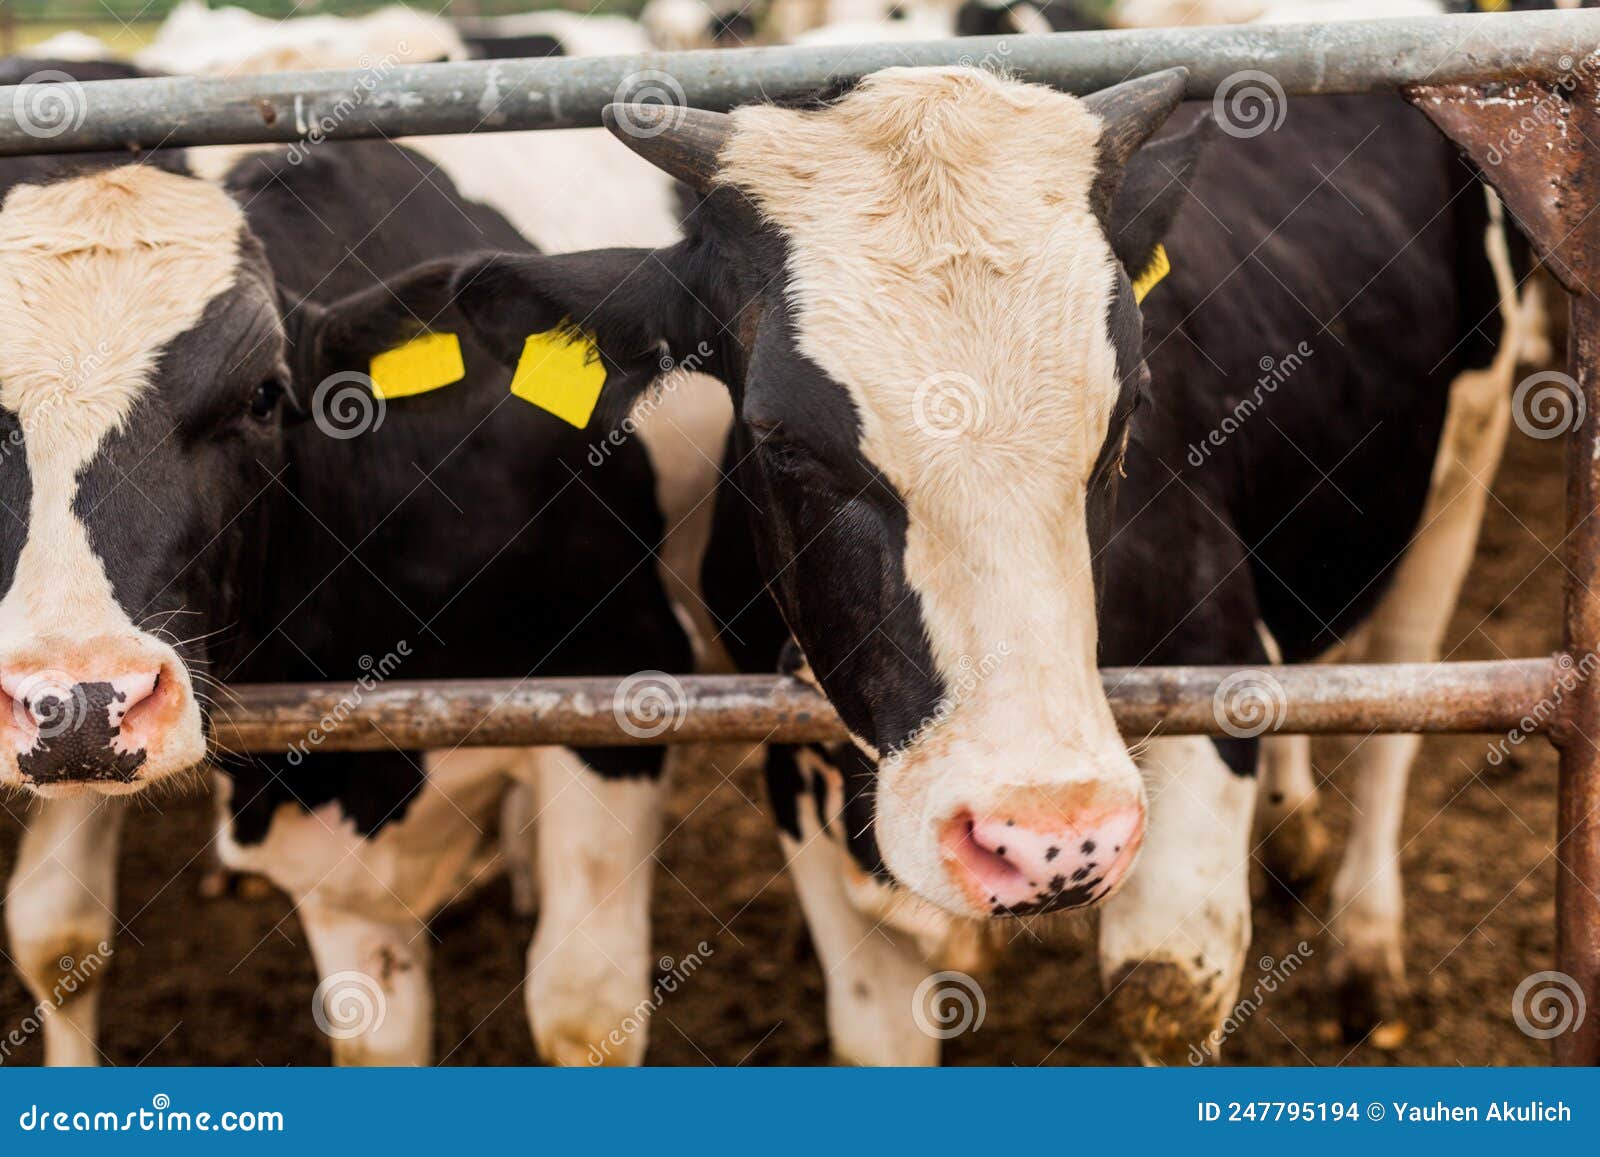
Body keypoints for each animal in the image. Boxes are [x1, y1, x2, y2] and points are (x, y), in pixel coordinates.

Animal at [386, 64, 1531, 1063]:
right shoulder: (798, 776)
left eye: (1129, 407)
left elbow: (1162, 990)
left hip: (1462, 469)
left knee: (1397, 712)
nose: (1046, 835)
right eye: (778, 436)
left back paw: (1367, 956)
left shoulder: (1212, 681)